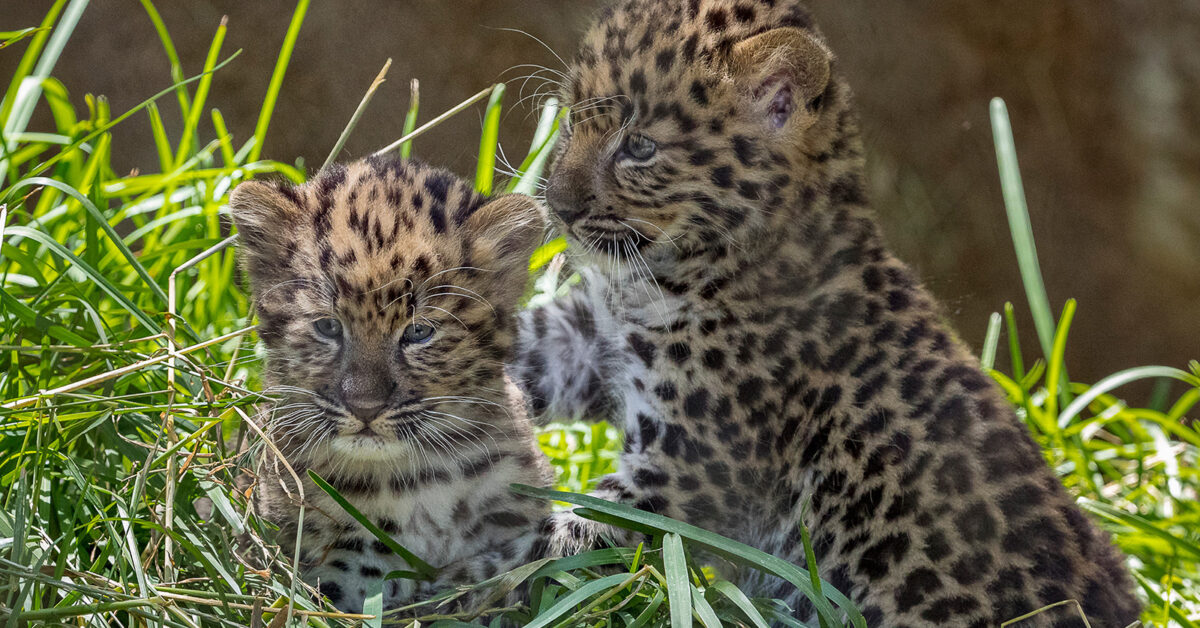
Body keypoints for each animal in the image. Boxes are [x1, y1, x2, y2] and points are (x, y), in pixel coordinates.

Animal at [509, 0, 1142, 625]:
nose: (556, 207)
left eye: (639, 147)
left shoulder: (686, 474)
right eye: (570, 122)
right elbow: (519, 344)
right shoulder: (588, 337)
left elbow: (566, 536)